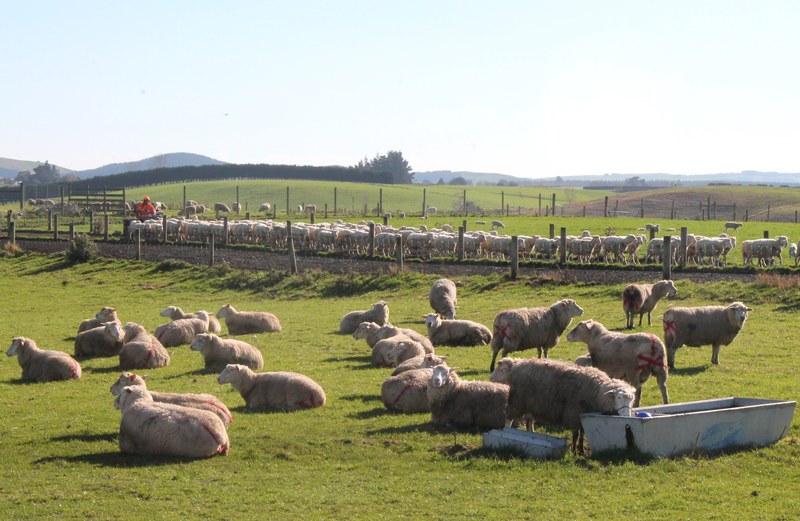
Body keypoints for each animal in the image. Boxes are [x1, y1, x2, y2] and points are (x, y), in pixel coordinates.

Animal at [490, 357, 635, 454]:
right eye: (618, 397)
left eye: (631, 400)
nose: (627, 415)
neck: (597, 390)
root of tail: (518, 364)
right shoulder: (573, 412)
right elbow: (575, 434)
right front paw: (574, 451)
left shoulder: (582, 415)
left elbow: (582, 433)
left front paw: (581, 450)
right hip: (517, 400)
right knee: (508, 418)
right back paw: (506, 432)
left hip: (530, 402)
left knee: (529, 420)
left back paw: (531, 433)